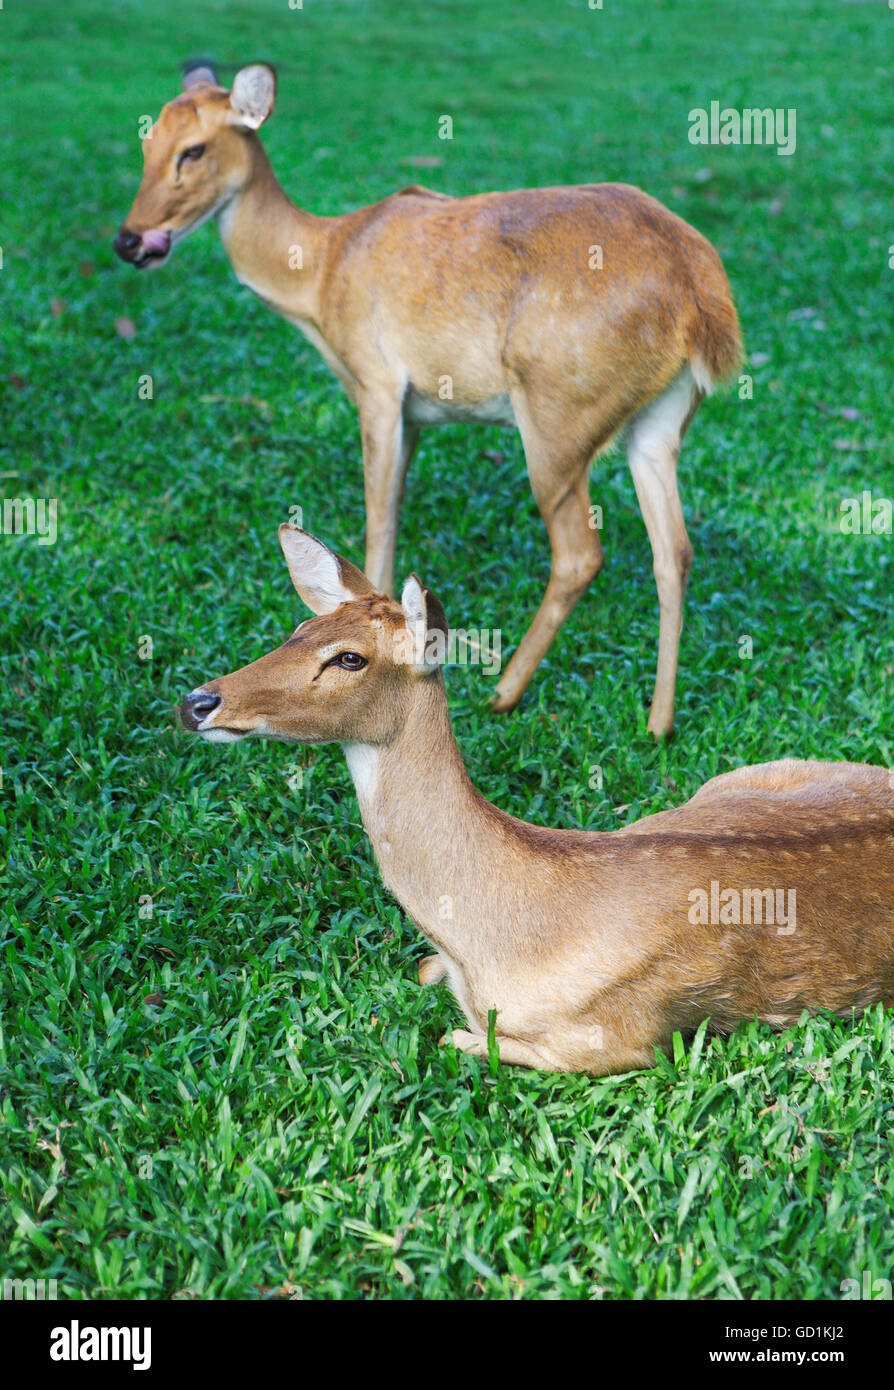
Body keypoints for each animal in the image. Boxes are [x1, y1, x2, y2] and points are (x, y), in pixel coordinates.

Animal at [116, 61, 743, 738]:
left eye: (194, 150)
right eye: (146, 142)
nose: (131, 241)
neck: (321, 270)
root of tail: (703, 300)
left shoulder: (378, 384)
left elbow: (379, 520)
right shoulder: (415, 415)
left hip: (557, 415)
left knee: (580, 553)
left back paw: (503, 692)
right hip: (658, 423)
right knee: (673, 550)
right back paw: (658, 722)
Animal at [179, 525, 894, 1077]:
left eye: (349, 658)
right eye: (300, 626)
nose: (198, 701)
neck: (491, 941)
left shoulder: (622, 1035)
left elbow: (465, 1039)